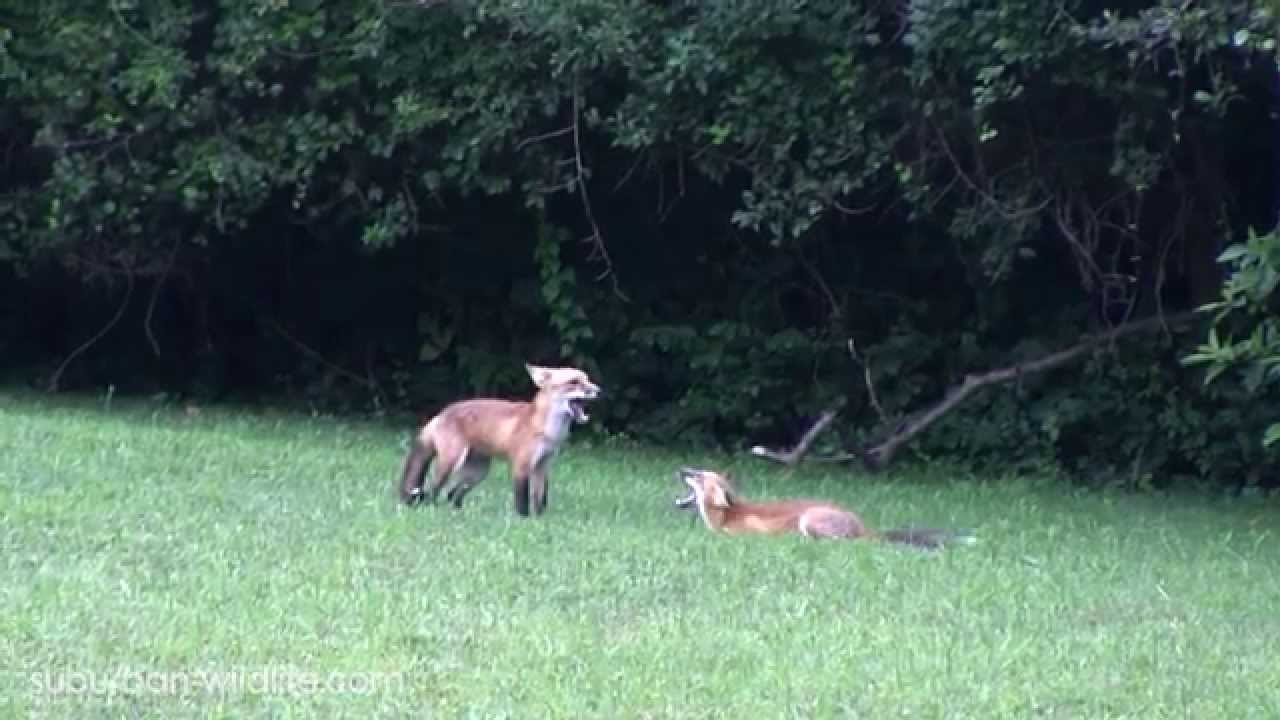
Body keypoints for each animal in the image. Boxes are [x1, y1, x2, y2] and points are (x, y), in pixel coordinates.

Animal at [399, 363, 601, 516]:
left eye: (587, 379)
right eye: (573, 382)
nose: (598, 391)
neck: (548, 432)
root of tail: (442, 412)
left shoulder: (543, 465)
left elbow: (540, 499)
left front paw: (540, 520)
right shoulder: (521, 466)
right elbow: (522, 500)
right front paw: (524, 520)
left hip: (478, 473)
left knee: (452, 493)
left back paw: (459, 513)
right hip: (451, 463)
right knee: (434, 489)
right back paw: (432, 510)